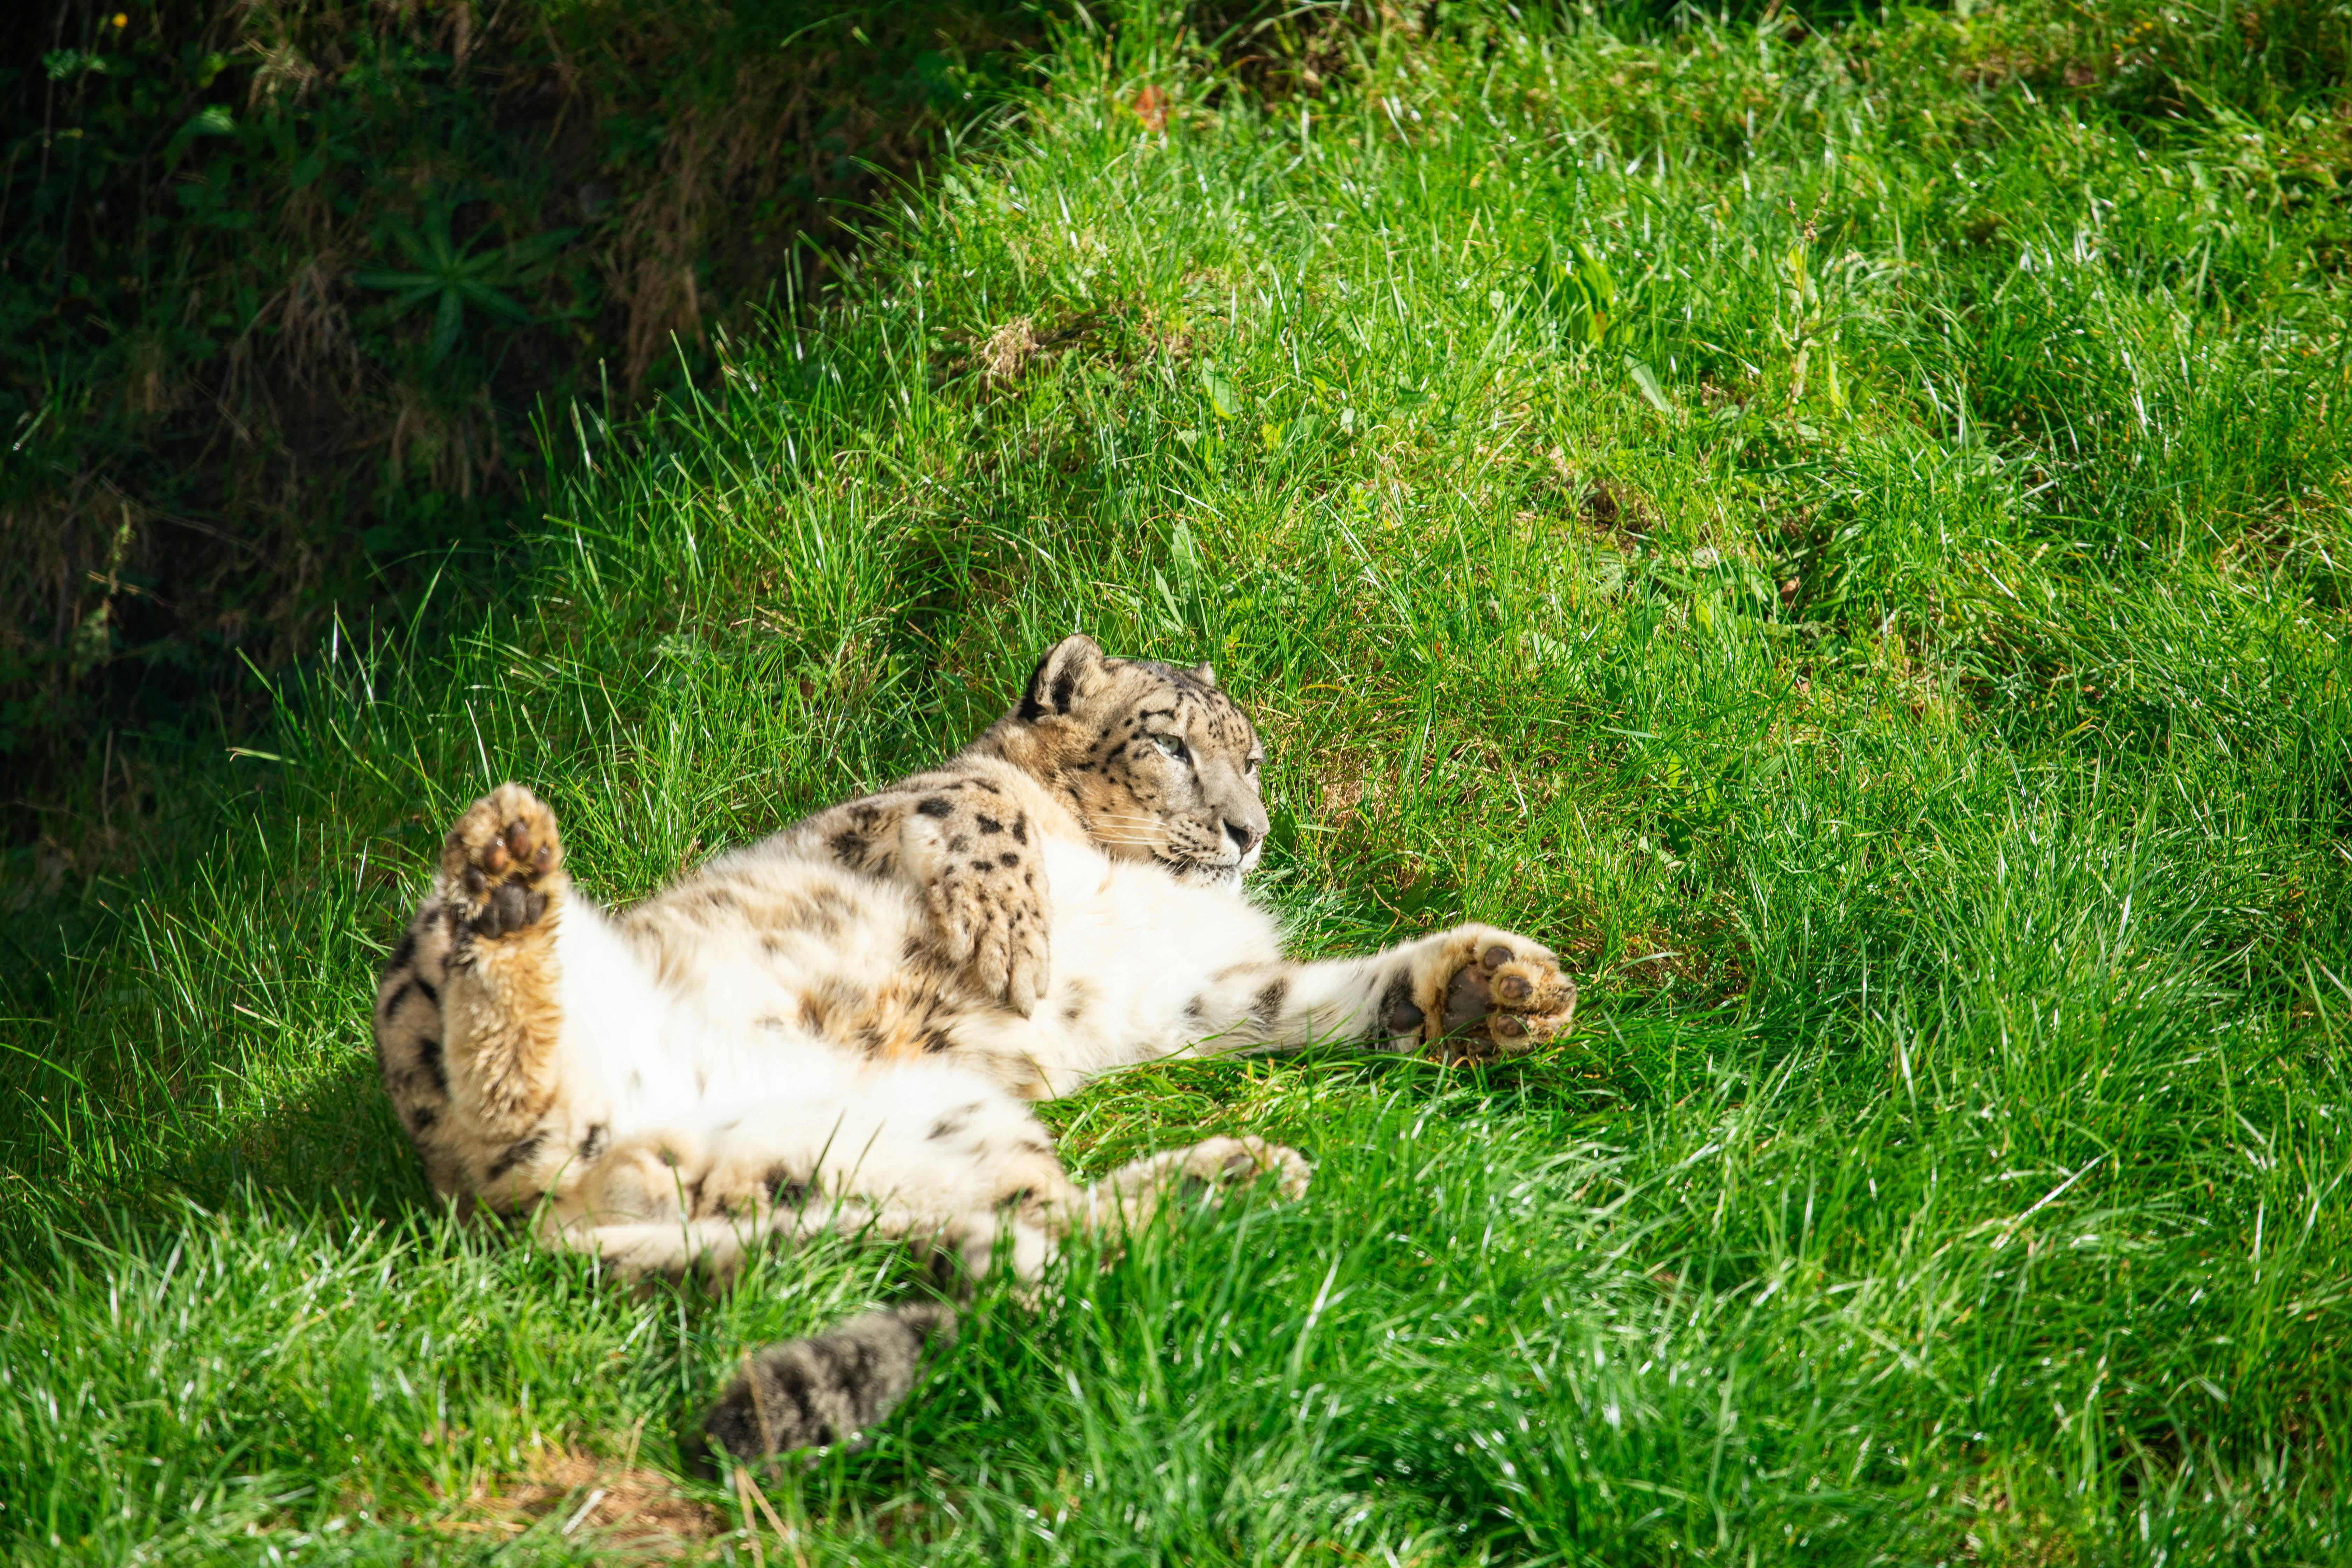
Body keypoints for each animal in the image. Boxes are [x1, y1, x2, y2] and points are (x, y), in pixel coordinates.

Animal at [370, 633, 1578, 1471]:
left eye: (1253, 758)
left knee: (1057, 1234)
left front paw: (1486, 991)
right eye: (1168, 743)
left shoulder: (1189, 991)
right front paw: (1011, 933)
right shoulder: (879, 808)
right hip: (429, 991)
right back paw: (509, 869)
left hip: (933, 1135)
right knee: (502, 1074)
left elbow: (1310, 996)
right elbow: (980, 792)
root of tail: (554, 1206)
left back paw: (1233, 1179)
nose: (1250, 830)